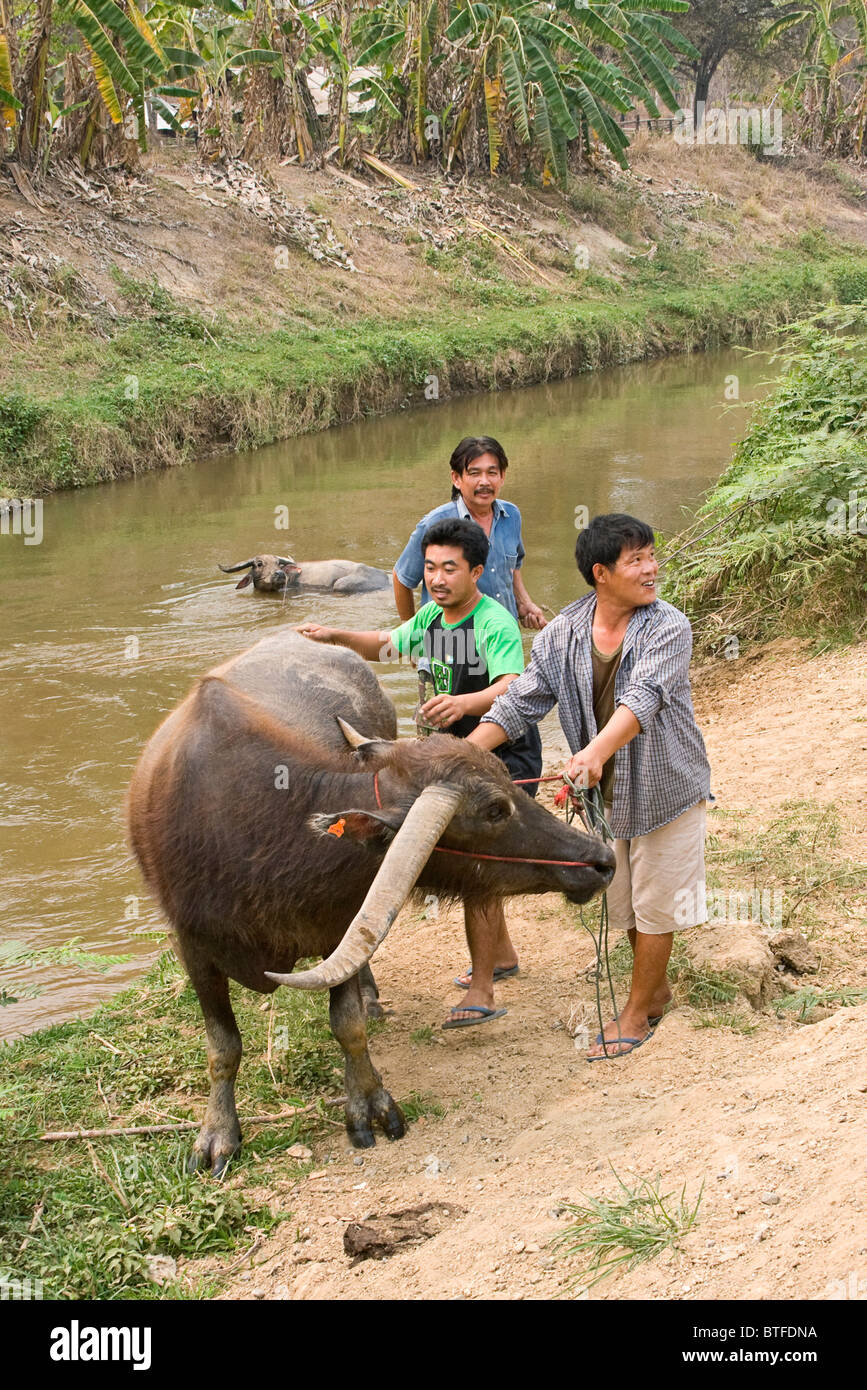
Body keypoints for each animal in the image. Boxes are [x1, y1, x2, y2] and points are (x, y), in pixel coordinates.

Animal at [126, 631, 615, 1173]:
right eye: (494, 810)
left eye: (510, 783)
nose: (600, 859)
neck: (250, 829)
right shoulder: (192, 946)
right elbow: (222, 1047)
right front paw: (217, 1135)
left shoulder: (337, 921)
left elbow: (348, 1026)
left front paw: (369, 1106)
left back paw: (372, 995)